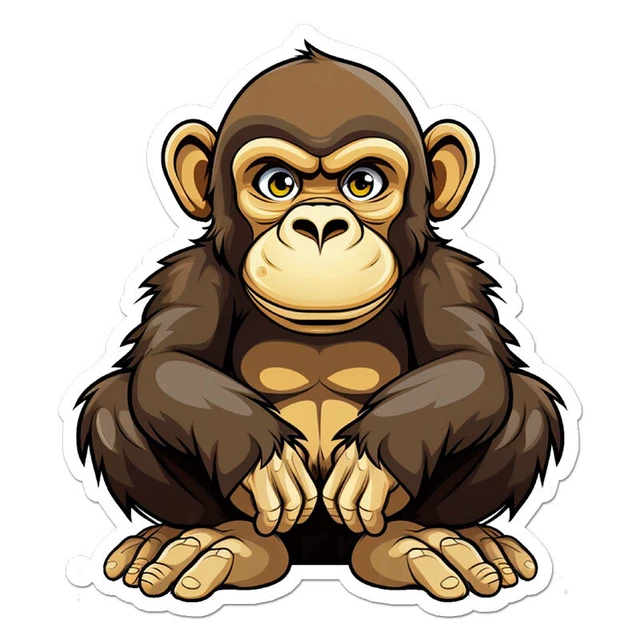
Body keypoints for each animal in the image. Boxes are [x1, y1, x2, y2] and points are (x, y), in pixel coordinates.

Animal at [76, 44, 564, 603]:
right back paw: (221, 544)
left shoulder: (445, 274)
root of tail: (320, 556)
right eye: (278, 183)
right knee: (113, 402)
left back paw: (419, 543)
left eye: (364, 183)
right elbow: (165, 365)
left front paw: (371, 460)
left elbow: (474, 364)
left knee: (526, 402)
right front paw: (266, 460)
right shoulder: (194, 273)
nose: (320, 225)